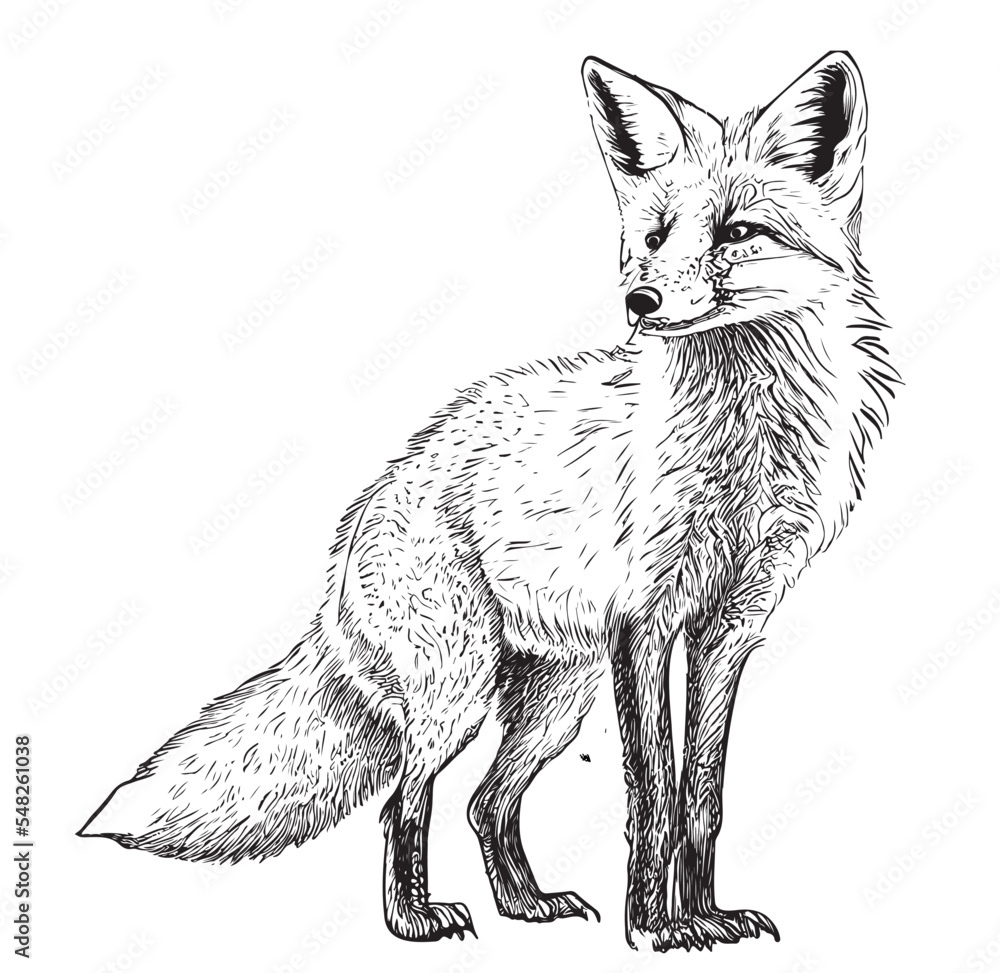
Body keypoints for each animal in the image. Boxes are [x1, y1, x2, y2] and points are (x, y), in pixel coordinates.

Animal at [79, 52, 897, 952]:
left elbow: (702, 800)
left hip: (556, 699)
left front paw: (706, 915)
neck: (745, 440)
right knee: (407, 800)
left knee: (484, 801)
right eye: (653, 238)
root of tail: (376, 498)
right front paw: (656, 926)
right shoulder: (646, 623)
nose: (640, 301)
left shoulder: (730, 628)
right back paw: (414, 917)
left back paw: (526, 903)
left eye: (737, 234)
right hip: (462, 690)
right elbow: (653, 797)